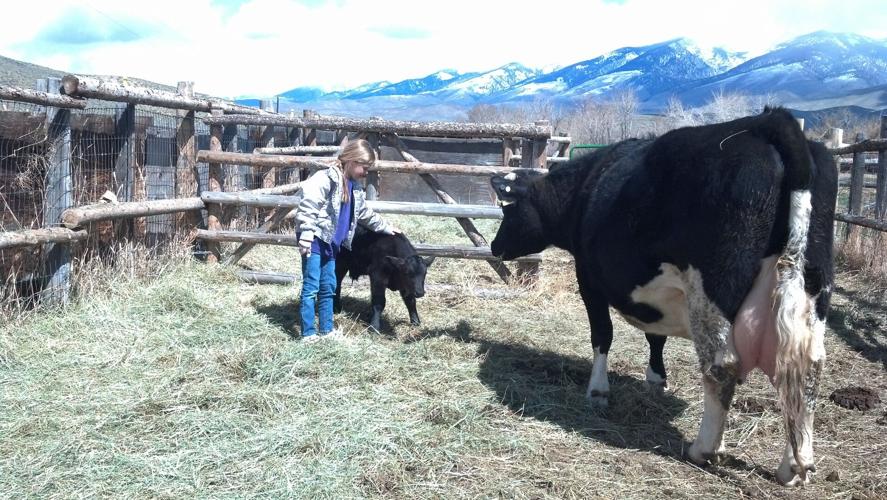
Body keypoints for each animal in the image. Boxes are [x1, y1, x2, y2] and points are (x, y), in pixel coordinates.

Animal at [489, 107, 836, 486]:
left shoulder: (589, 280)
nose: (494, 245)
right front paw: (656, 380)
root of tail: (767, 121)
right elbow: (655, 337)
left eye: (508, 210)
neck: (586, 188)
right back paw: (794, 465)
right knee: (806, 370)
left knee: (723, 367)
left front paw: (598, 391)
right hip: (811, 290)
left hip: (713, 289)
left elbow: (602, 336)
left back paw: (704, 449)